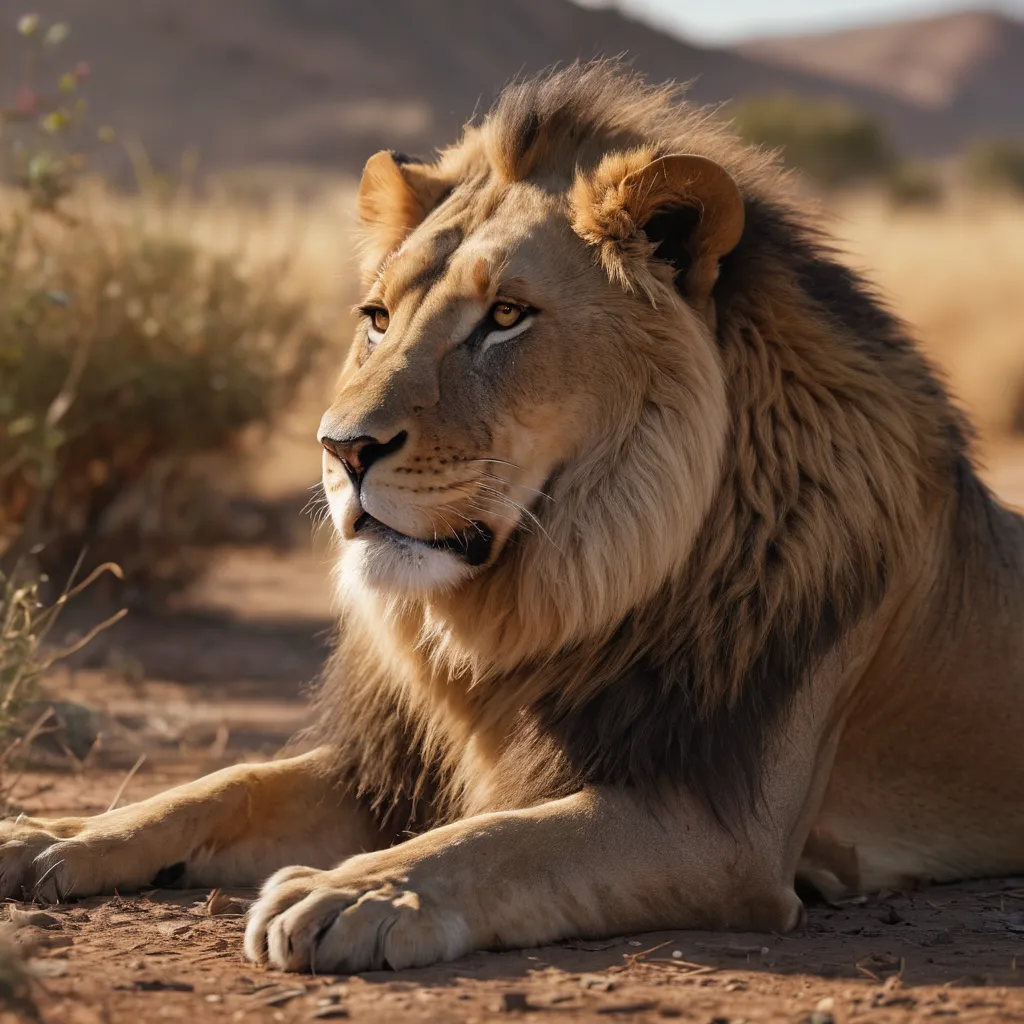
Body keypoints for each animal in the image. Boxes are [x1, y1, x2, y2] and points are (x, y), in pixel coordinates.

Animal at [2, 62, 1022, 974]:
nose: (340, 449)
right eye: (377, 317)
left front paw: (356, 890)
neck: (542, 600)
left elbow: (505, 839)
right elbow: (223, 784)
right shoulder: (396, 768)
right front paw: (56, 831)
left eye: (504, 317)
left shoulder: (726, 827)